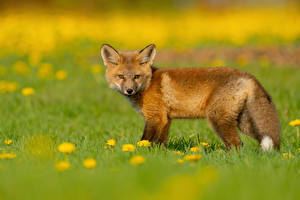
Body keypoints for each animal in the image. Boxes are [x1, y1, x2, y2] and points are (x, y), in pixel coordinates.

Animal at [101, 43, 282, 150]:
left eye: (136, 76)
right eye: (121, 77)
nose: (129, 90)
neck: (149, 84)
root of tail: (247, 75)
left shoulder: (155, 117)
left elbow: (145, 141)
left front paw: (140, 155)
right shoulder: (166, 119)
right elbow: (161, 143)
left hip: (217, 118)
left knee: (237, 144)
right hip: (243, 122)